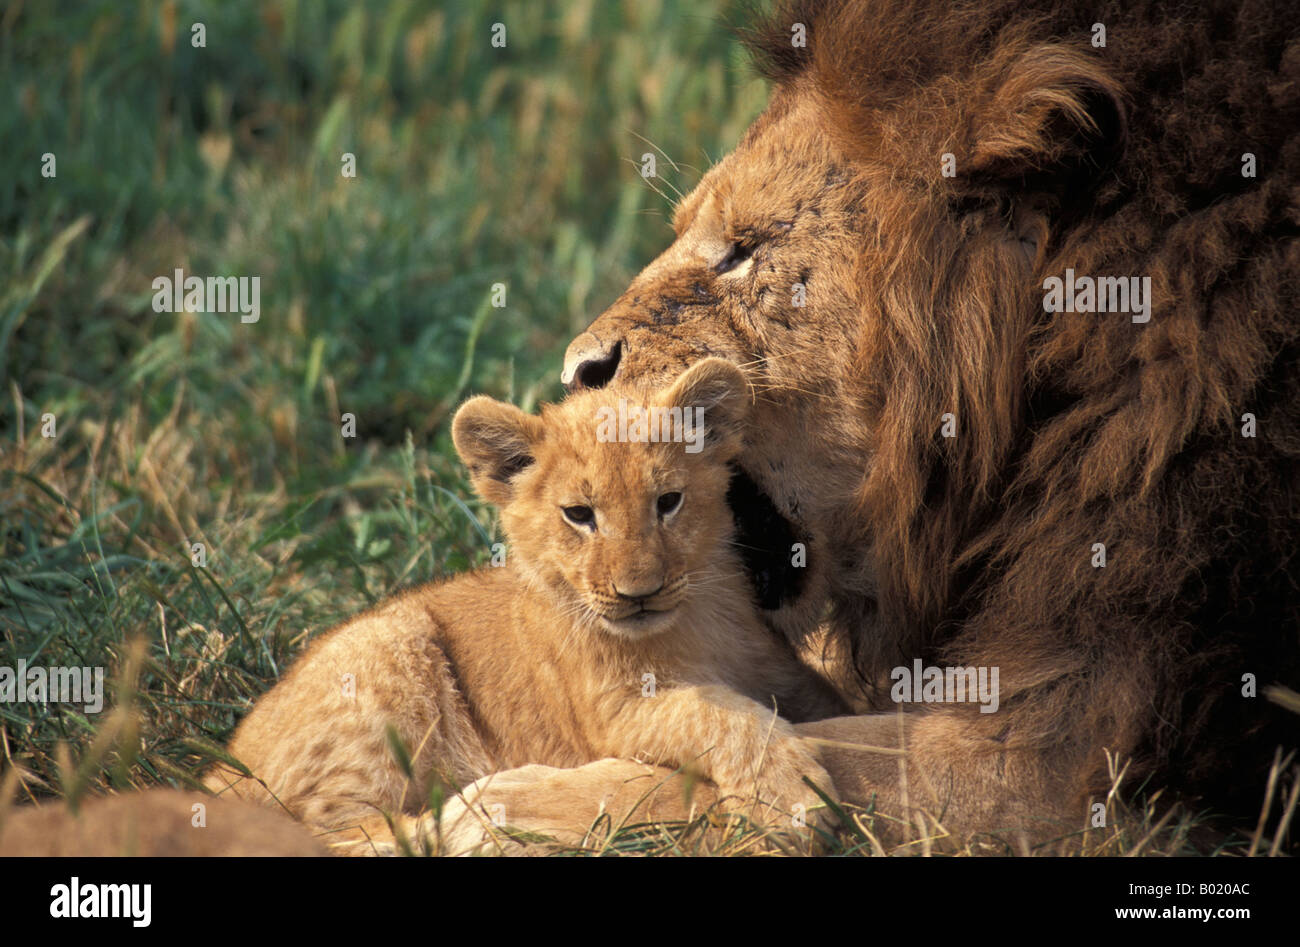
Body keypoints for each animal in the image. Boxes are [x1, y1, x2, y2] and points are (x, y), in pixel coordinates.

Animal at [205, 359, 847, 853]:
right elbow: (718, 714)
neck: (695, 621)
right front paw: (791, 798)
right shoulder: (614, 713)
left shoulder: (788, 677)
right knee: (343, 833)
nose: (638, 592)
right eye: (579, 515)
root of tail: (223, 766)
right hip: (384, 650)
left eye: (669, 501)